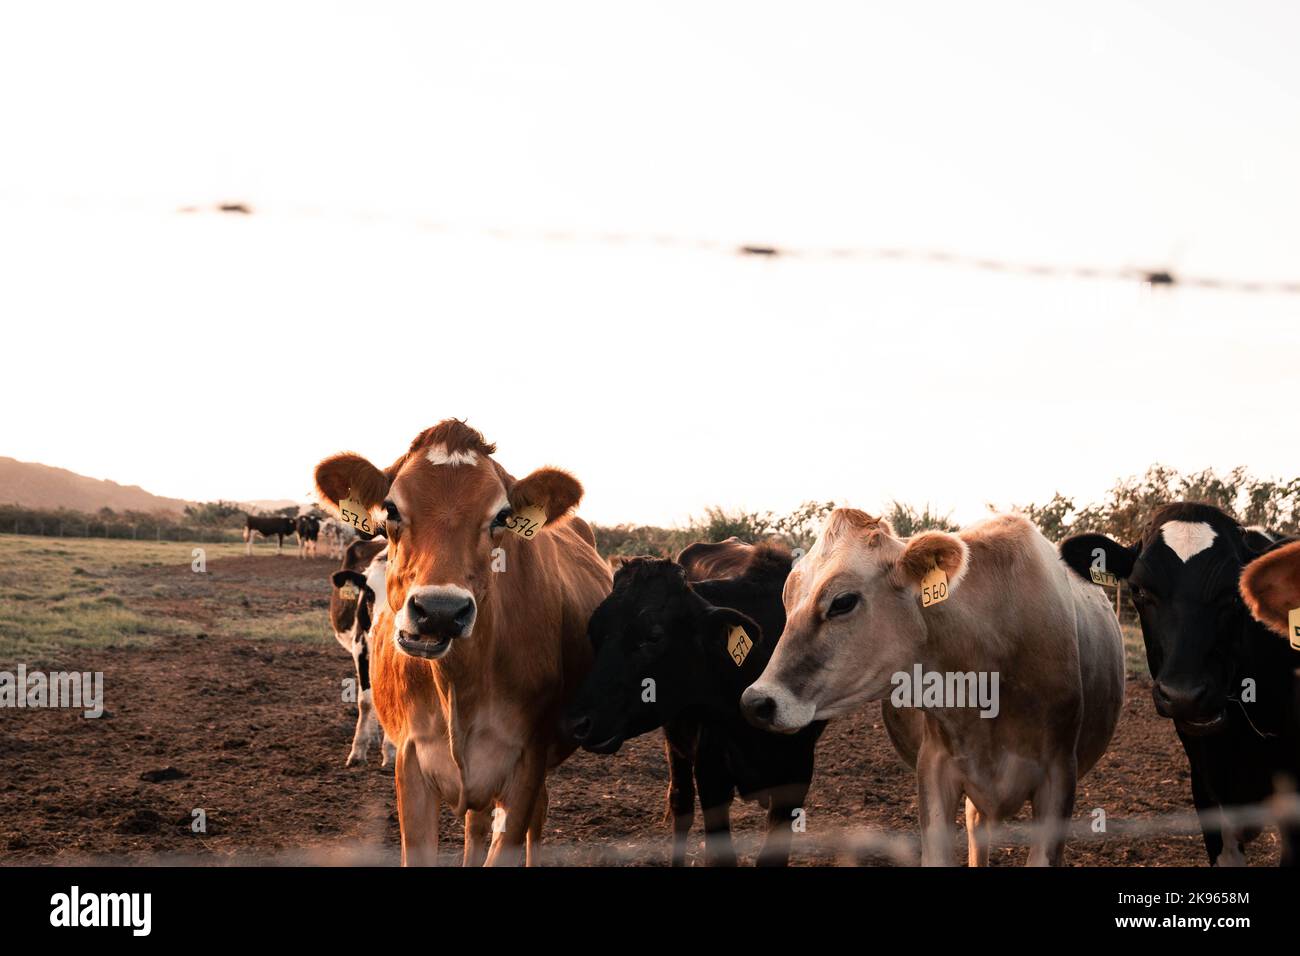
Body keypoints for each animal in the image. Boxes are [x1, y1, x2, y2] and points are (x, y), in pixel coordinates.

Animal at [332, 548, 398, 767]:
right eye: (369, 593)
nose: (379, 631)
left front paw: (391, 752)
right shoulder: (361, 648)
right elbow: (366, 701)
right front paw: (358, 751)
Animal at [564, 539, 825, 866]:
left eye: (653, 636)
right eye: (594, 632)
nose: (578, 723)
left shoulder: (797, 774)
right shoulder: (711, 770)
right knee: (681, 805)